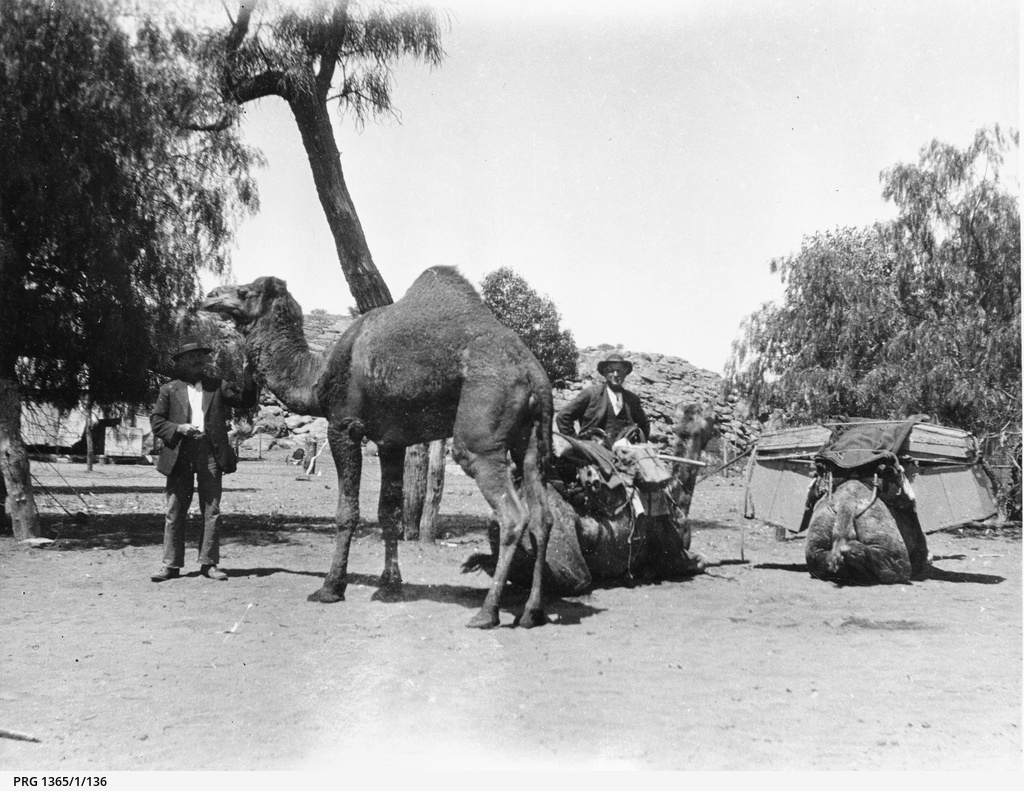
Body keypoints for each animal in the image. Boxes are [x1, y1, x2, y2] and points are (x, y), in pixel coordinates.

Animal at [201, 267, 554, 628]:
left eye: (244, 292)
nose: (210, 296)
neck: (316, 376)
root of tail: (534, 375)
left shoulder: (344, 426)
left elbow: (347, 511)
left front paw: (331, 587)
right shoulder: (391, 442)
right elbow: (388, 511)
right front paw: (389, 584)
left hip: (481, 430)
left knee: (513, 515)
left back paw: (487, 612)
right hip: (531, 440)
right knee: (543, 516)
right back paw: (533, 611)